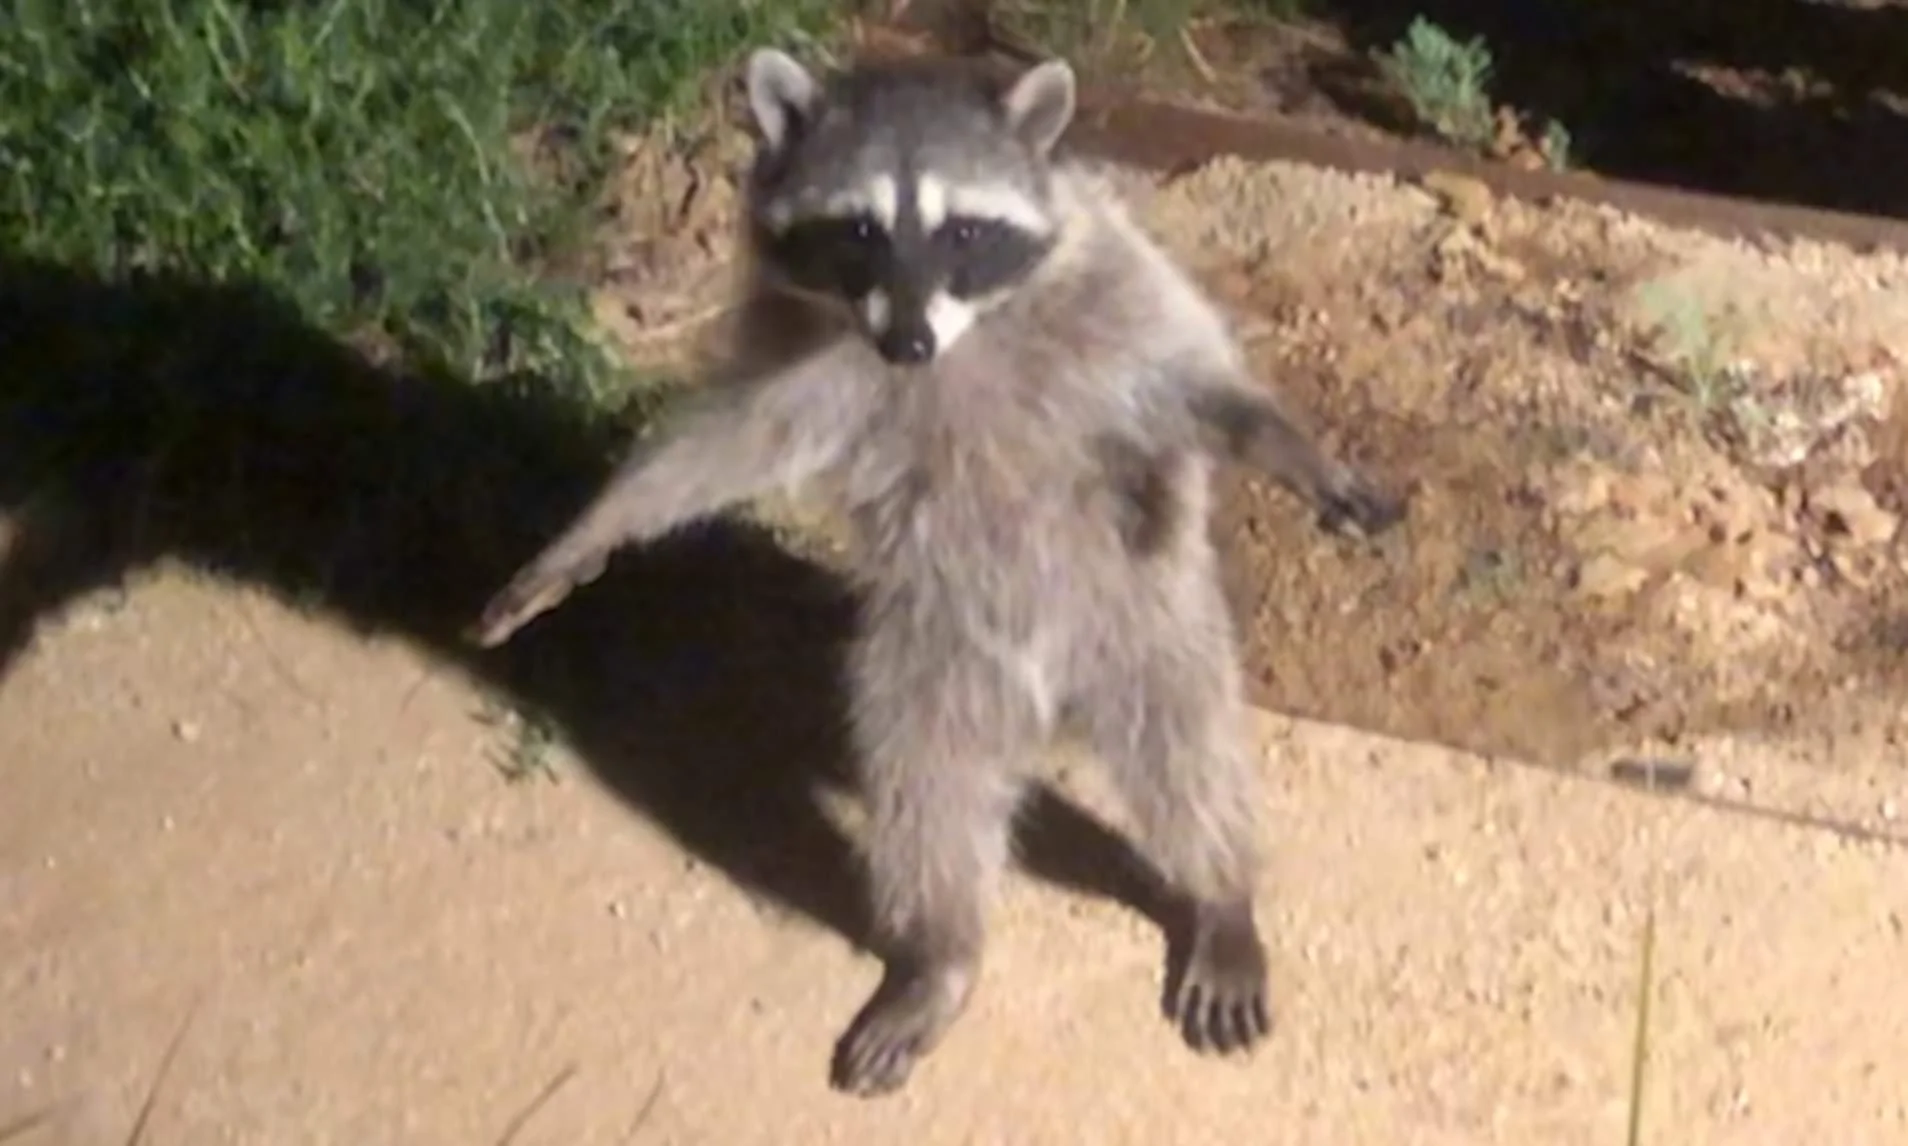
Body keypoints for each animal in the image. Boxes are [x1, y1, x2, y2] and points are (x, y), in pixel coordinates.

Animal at [470, 48, 1406, 1097]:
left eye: (964, 230)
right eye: (860, 231)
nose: (907, 344)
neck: (960, 337)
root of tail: (1046, 705)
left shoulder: (1111, 277)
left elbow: (1192, 380)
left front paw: (1292, 447)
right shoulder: (802, 347)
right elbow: (723, 444)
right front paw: (592, 530)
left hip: (1141, 618)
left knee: (1186, 751)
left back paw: (1221, 890)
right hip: (931, 662)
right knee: (930, 796)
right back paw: (943, 952)